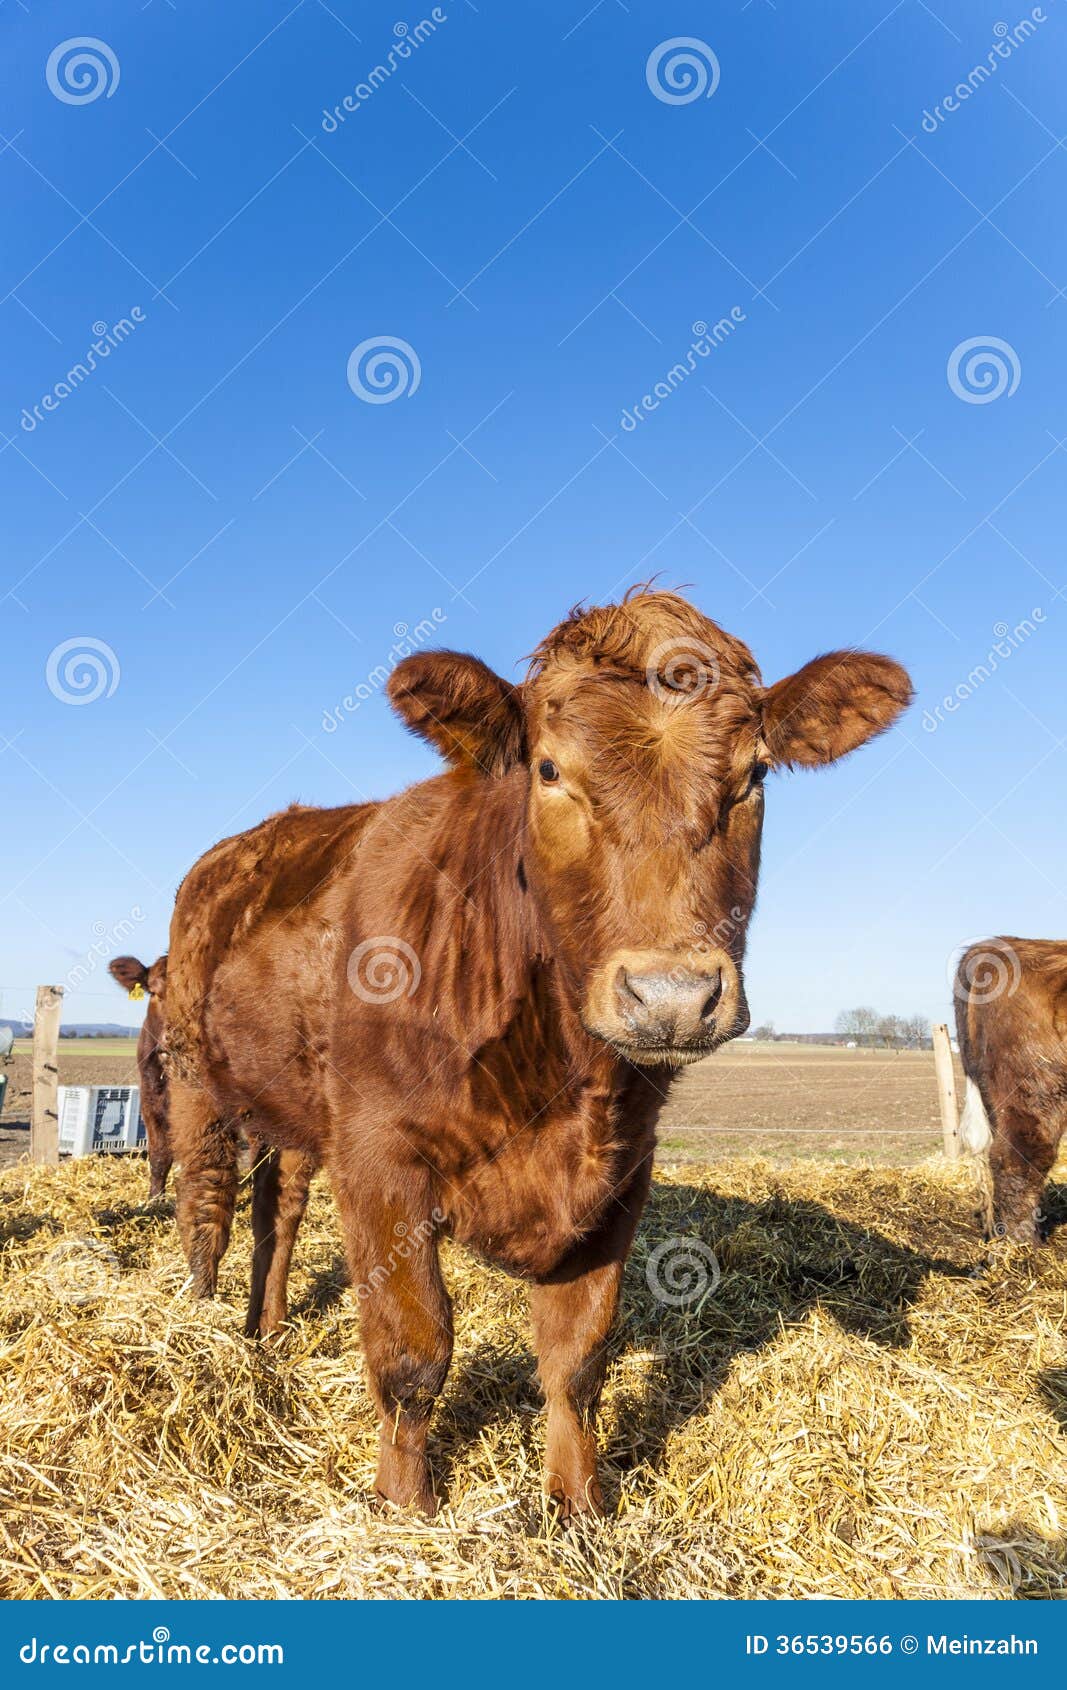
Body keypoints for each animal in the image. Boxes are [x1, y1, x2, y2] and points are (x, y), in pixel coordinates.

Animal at [163, 589, 911, 1516]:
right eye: (549, 771)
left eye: (754, 777)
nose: (671, 996)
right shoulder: (378, 1159)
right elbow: (415, 1352)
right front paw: (405, 1507)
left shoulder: (621, 1172)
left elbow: (577, 1355)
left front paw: (578, 1504)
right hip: (194, 1080)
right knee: (207, 1210)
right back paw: (200, 1325)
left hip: (294, 1112)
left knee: (280, 1211)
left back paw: (262, 1332)